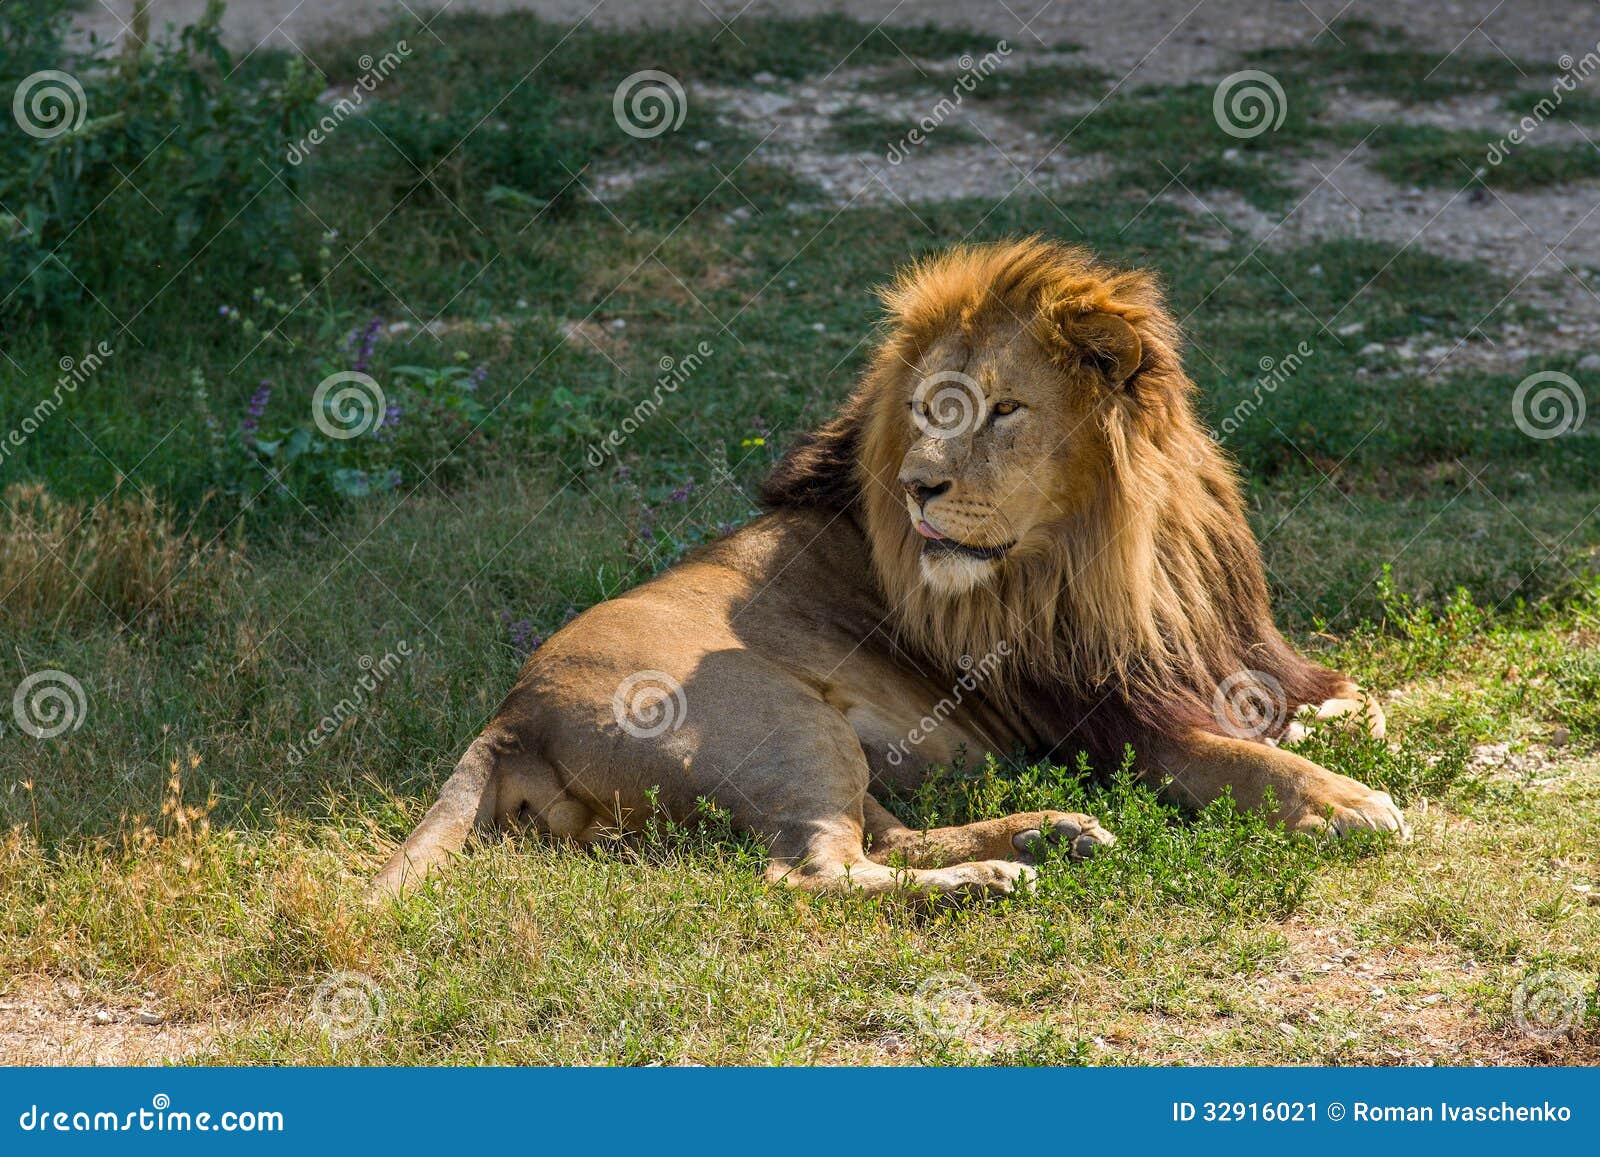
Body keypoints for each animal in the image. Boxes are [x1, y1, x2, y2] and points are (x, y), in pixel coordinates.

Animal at [373, 237, 1406, 900]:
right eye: (921, 408)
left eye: (1002, 409)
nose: (915, 486)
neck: (1129, 540)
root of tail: (512, 714)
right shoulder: (1106, 723)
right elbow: (1238, 756)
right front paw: (1347, 800)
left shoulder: (1230, 654)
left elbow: (1355, 705)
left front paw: (1345, 733)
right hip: (784, 720)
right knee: (808, 875)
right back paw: (988, 877)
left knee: (888, 837)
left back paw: (1048, 834)